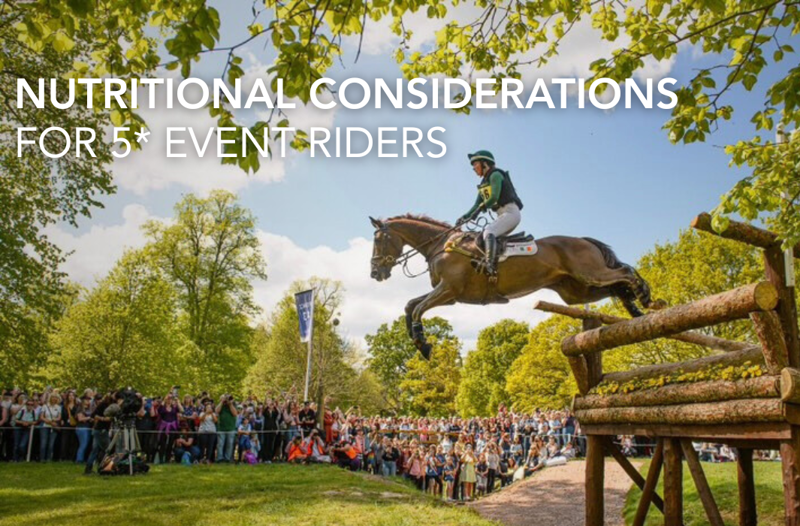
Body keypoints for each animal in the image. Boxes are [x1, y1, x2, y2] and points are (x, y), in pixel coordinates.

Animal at [369, 214, 661, 360]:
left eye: (379, 240)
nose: (374, 273)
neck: (441, 245)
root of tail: (584, 240)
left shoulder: (449, 290)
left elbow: (419, 308)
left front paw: (423, 344)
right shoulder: (449, 295)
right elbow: (410, 305)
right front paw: (415, 339)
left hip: (589, 273)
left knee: (624, 273)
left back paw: (646, 298)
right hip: (576, 291)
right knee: (616, 286)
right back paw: (635, 311)